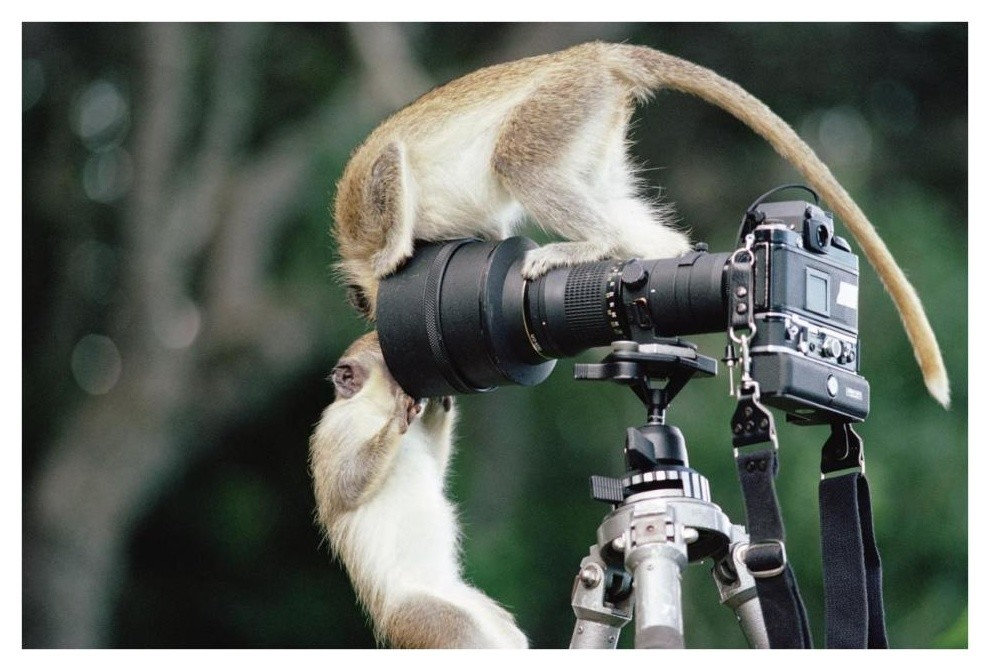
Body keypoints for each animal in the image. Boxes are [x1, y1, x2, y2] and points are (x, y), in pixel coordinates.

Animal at [309, 331, 528, 648]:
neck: (374, 408)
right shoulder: (337, 426)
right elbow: (345, 486)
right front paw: (396, 421)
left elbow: (435, 469)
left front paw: (441, 405)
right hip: (419, 615)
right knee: (463, 631)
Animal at [332, 41, 949, 407]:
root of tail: (593, 54)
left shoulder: (367, 199)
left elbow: (390, 166)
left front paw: (394, 258)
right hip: (588, 118)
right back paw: (663, 257)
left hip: (556, 107)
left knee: (517, 160)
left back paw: (592, 246)